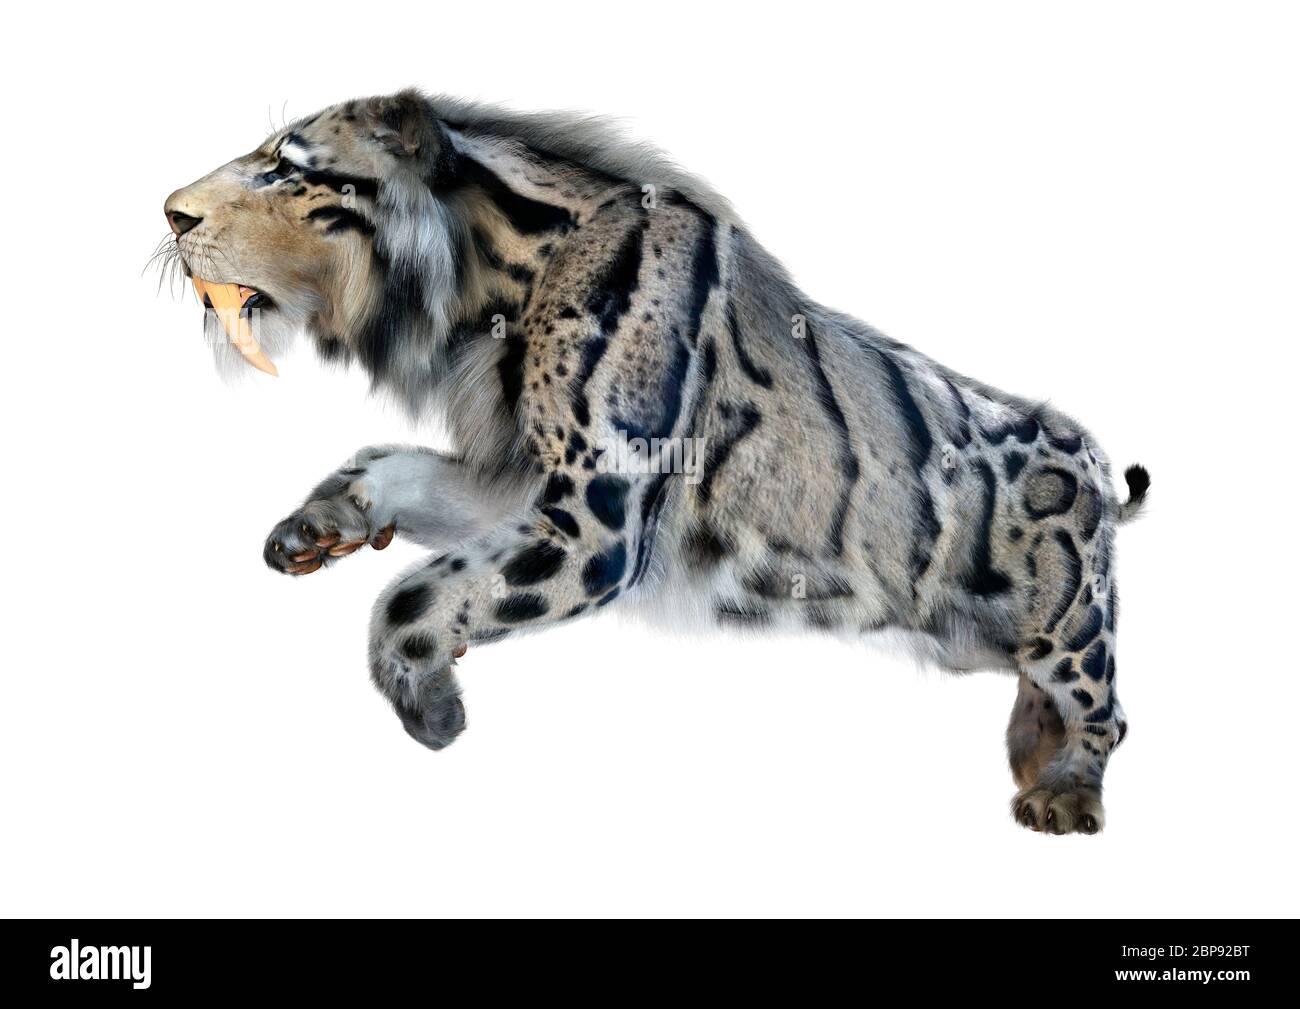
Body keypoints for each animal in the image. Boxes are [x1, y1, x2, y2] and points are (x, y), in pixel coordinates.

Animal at [162, 89, 1150, 834]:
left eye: (287, 169)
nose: (170, 213)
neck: (483, 295)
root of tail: (1101, 467)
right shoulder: (519, 486)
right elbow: (387, 466)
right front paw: (316, 527)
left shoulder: (595, 521)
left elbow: (410, 597)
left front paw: (434, 709)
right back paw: (1030, 761)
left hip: (1073, 628)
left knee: (1107, 708)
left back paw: (1063, 792)